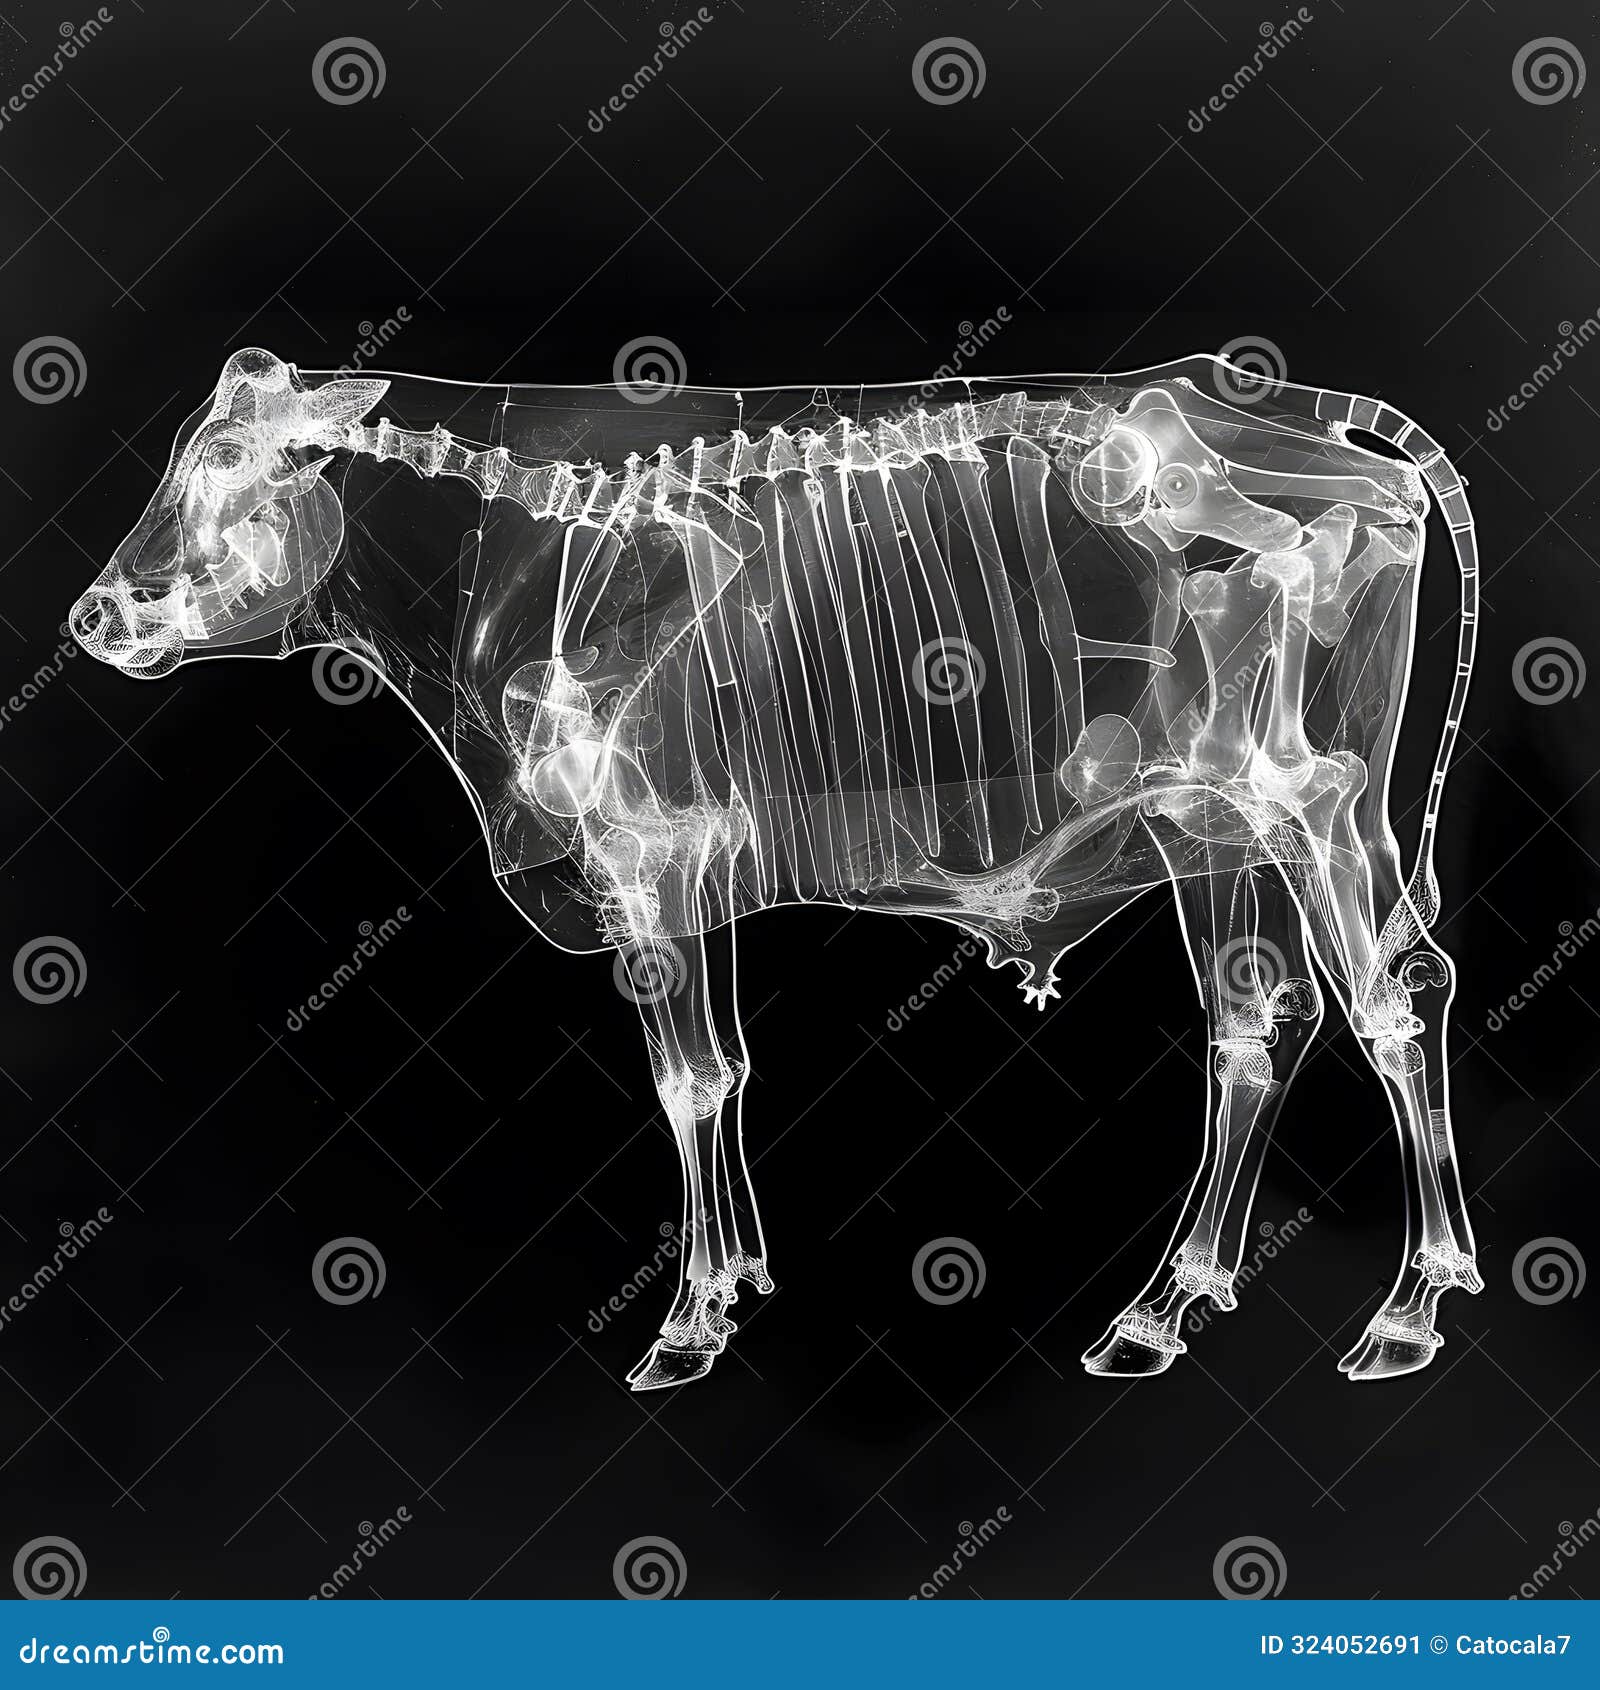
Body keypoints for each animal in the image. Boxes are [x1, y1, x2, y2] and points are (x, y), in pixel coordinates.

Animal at [68, 347, 1481, 1390]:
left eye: (228, 461)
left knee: (1396, 996)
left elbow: (688, 1076)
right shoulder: (691, 864)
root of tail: (1272, 404)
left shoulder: (642, 845)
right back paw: (1159, 1314)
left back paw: (1410, 1314)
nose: (92, 614)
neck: (492, 572)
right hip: (1207, 819)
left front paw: (689, 1321)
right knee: (1258, 1024)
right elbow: (729, 1067)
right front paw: (741, 1278)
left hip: (1313, 792)